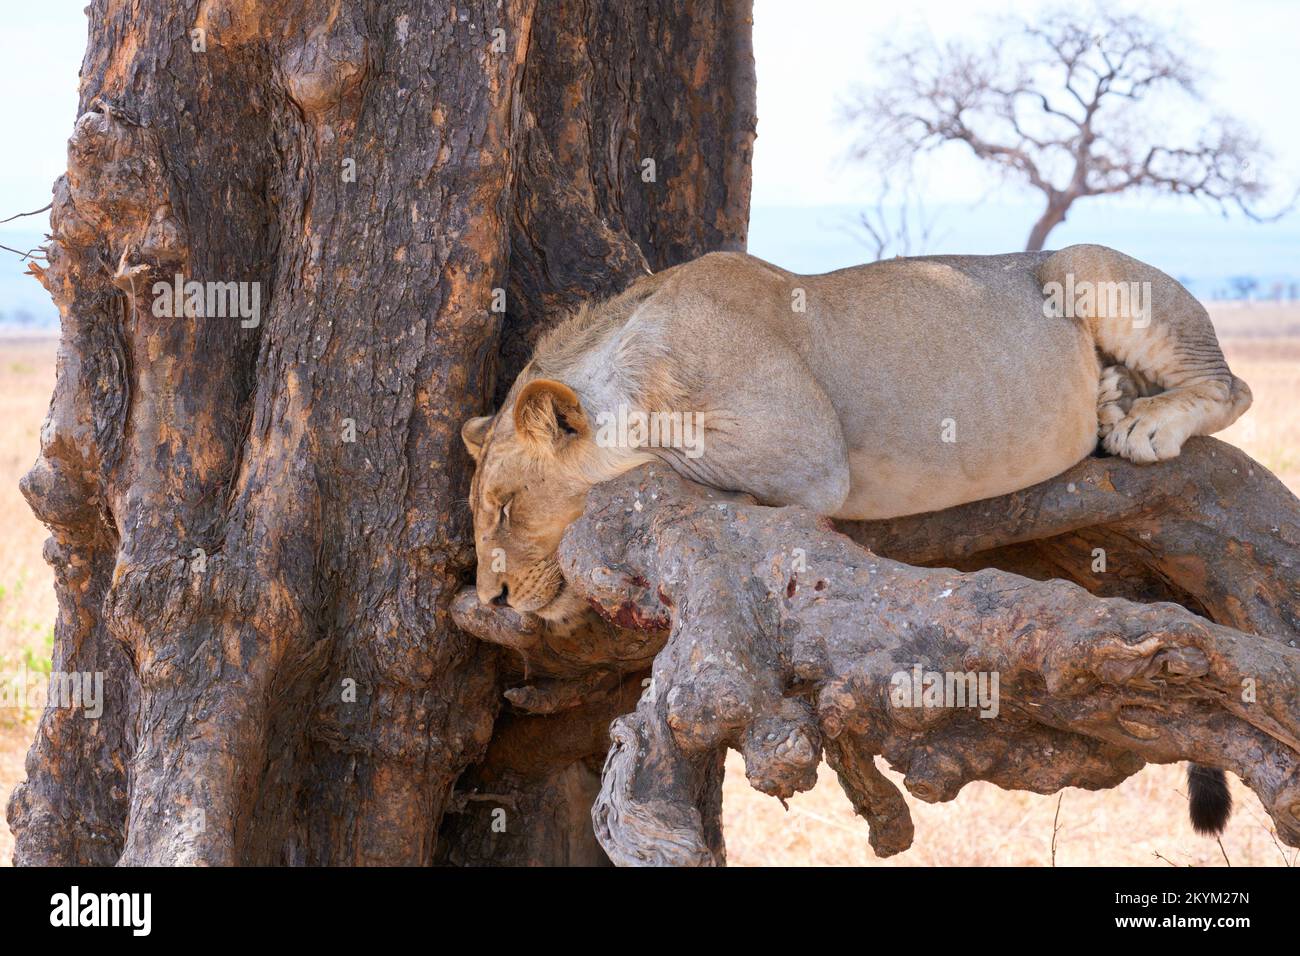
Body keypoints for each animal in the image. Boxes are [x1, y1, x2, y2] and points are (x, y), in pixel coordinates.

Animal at [461, 244, 1251, 835]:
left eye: (504, 507)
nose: (492, 596)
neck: (637, 350)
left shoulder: (803, 449)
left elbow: (645, 456)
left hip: (1088, 267)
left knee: (1232, 389)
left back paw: (1139, 420)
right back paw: (1114, 395)